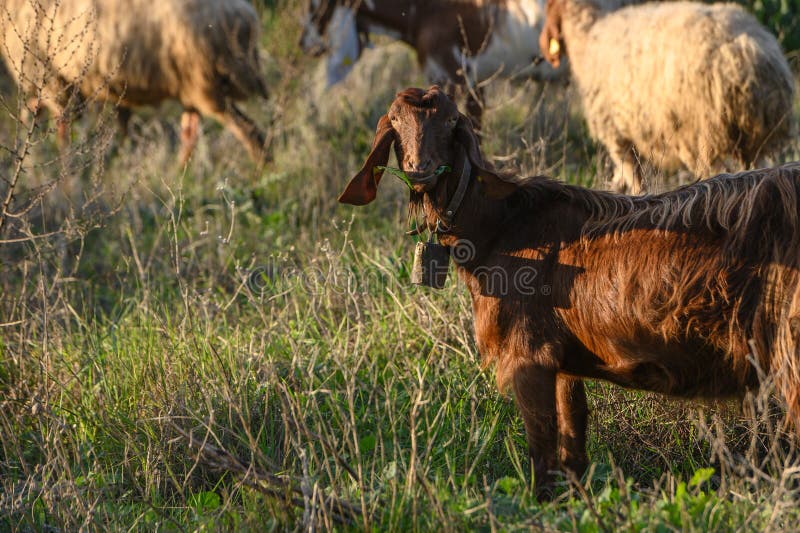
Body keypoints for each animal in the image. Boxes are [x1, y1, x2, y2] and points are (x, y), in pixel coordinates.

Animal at [0, 0, 269, 163]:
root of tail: (246, 17)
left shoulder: (52, 82)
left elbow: (63, 140)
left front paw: (65, 187)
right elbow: (31, 116)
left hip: (207, 86)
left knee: (252, 134)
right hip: (192, 87)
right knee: (190, 133)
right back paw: (179, 179)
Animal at [339, 86, 800, 496]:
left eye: (452, 121)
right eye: (395, 120)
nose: (421, 168)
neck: (499, 226)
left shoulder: (528, 353)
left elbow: (543, 449)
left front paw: (541, 506)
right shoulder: (563, 360)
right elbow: (572, 443)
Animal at [539, 0, 795, 193]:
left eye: (549, 6)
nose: (543, 46)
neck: (590, 32)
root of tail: (748, 52)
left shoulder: (617, 137)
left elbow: (636, 182)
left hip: (703, 135)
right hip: (756, 139)